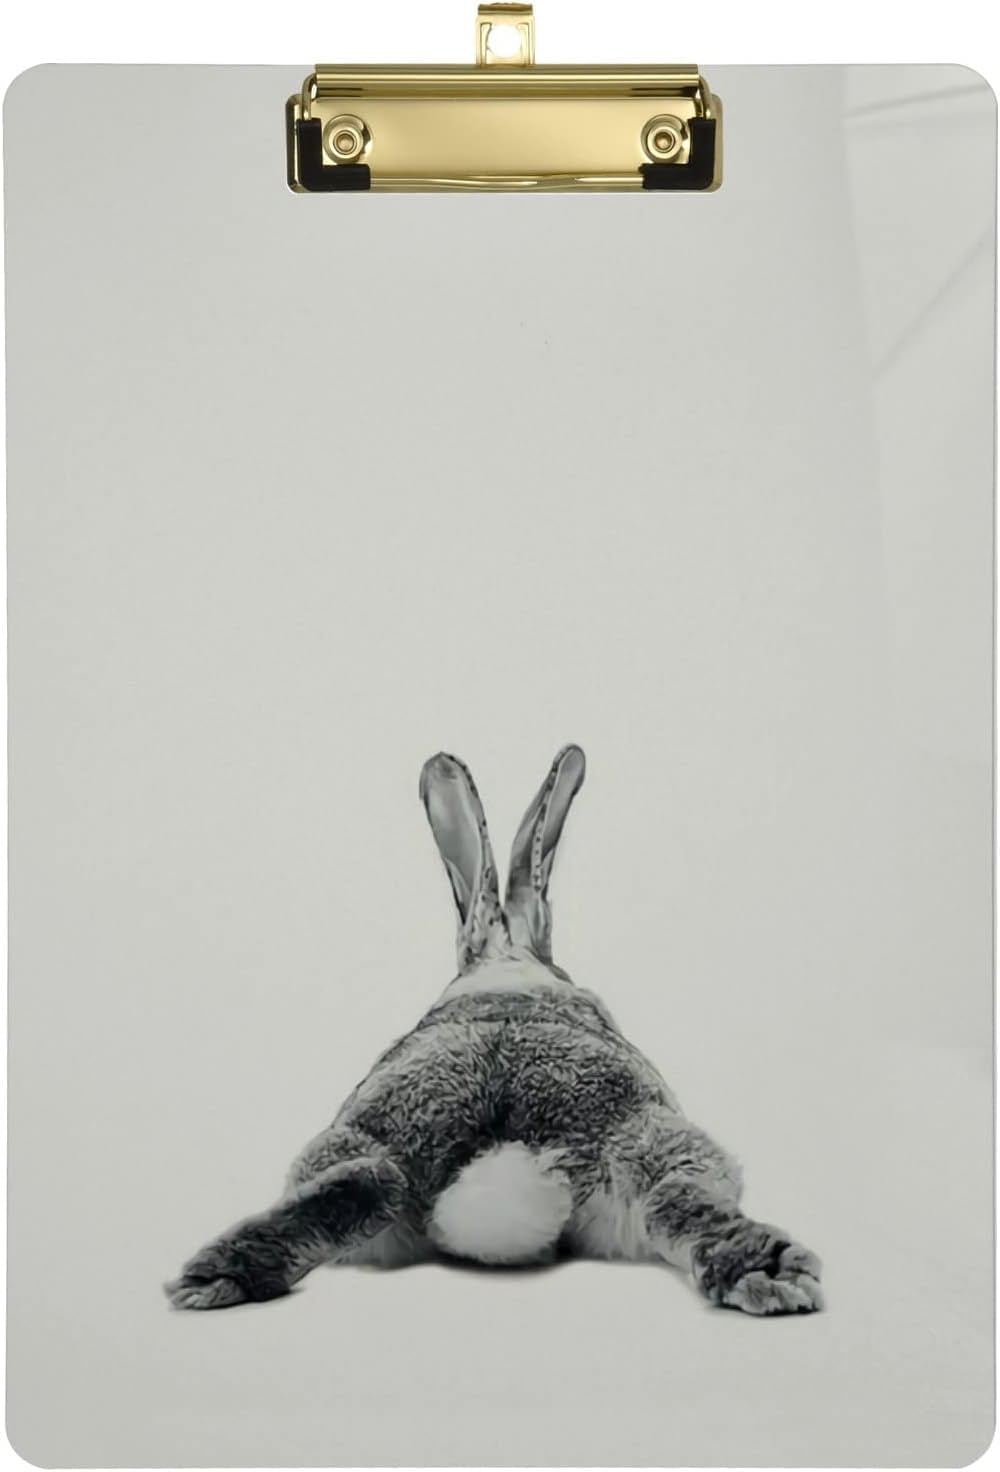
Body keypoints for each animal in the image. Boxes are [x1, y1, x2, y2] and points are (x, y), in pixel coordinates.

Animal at [165, 745, 823, 1316]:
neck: (505, 973)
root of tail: (504, 1158)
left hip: (355, 1150)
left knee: (366, 1183)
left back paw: (213, 1280)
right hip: (658, 1145)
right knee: (675, 1199)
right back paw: (775, 1275)